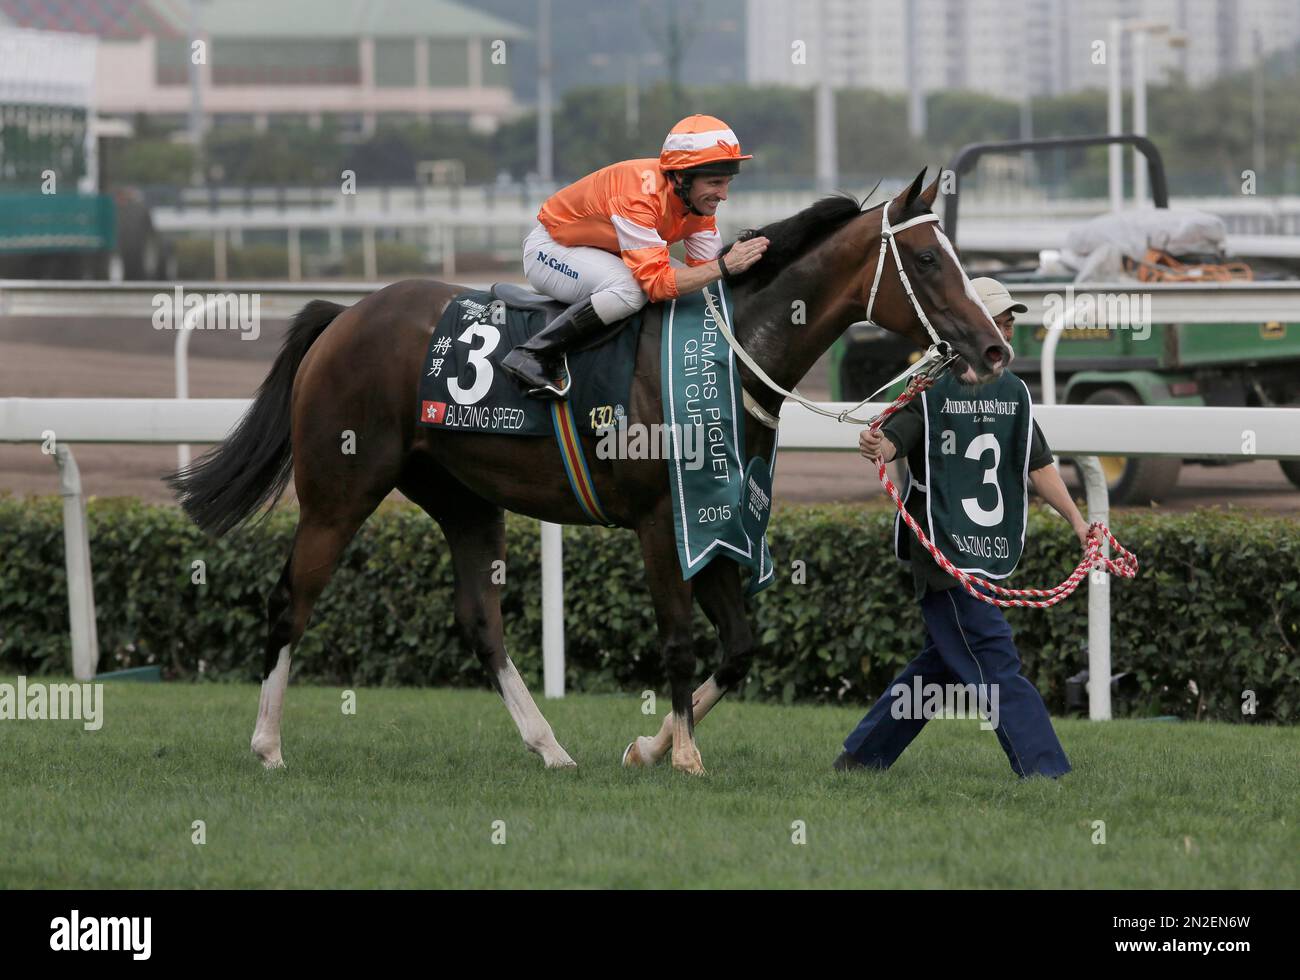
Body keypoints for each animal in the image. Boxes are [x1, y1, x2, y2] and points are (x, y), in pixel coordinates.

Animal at [167, 168, 1011, 775]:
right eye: (929, 259)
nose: (995, 348)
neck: (731, 356)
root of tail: (343, 316)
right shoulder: (661, 523)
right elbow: (678, 638)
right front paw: (684, 755)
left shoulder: (713, 516)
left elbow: (739, 646)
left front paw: (650, 747)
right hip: (339, 491)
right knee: (290, 602)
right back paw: (268, 746)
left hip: (464, 498)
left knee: (481, 622)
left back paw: (551, 748)